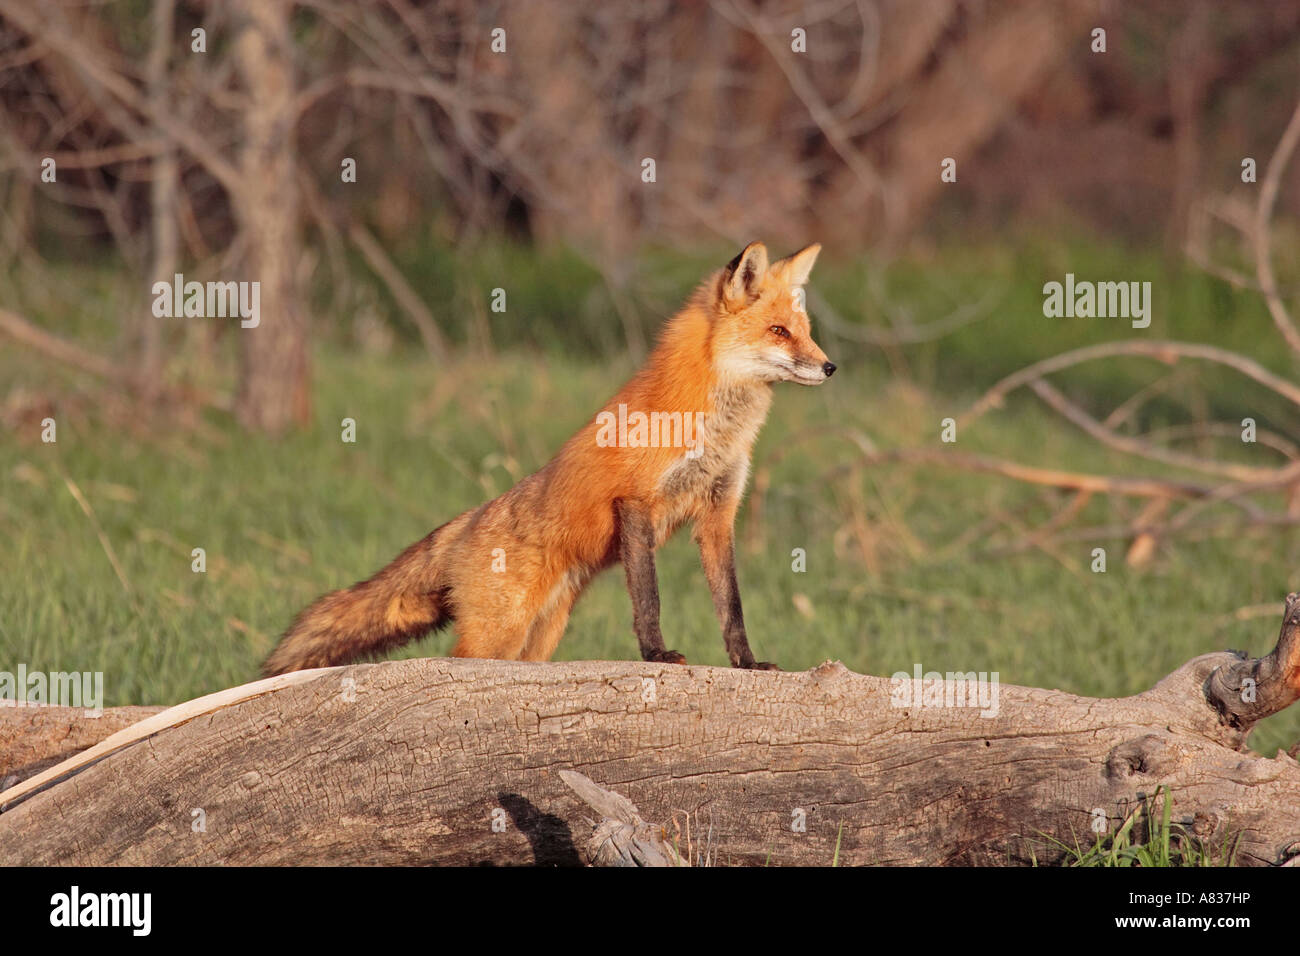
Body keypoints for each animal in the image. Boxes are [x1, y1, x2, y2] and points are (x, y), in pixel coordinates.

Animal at [263, 240, 835, 676]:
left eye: (805, 331)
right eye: (779, 332)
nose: (831, 367)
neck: (714, 427)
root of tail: (467, 521)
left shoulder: (718, 513)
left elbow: (731, 606)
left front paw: (747, 663)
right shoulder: (636, 502)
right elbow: (648, 600)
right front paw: (655, 655)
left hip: (540, 638)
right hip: (497, 633)